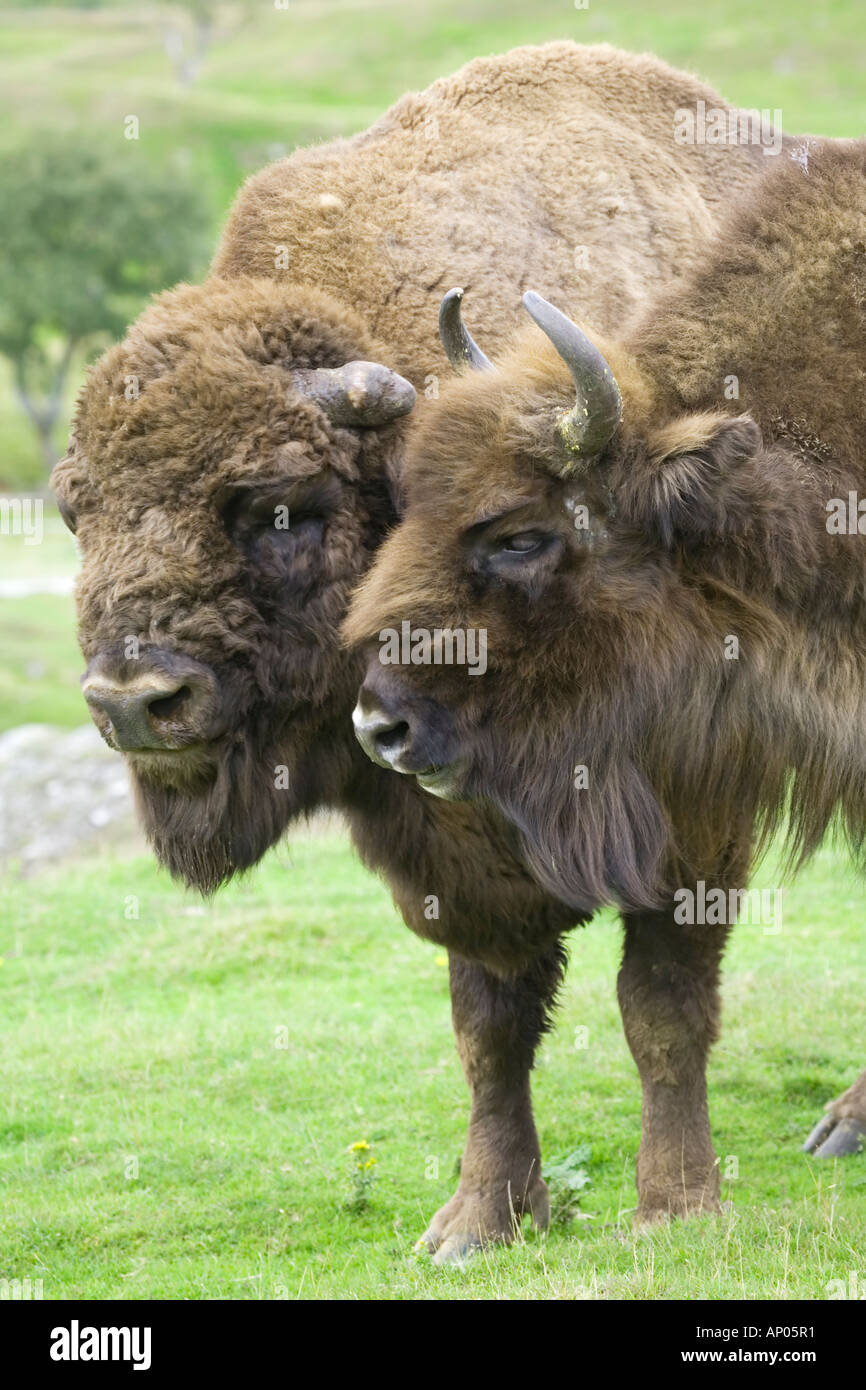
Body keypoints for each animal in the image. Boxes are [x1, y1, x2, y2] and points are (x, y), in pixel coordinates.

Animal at [54, 43, 779, 1256]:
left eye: (280, 505)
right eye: (76, 512)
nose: (133, 701)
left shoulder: (693, 819)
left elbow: (661, 1008)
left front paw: (677, 1209)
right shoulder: (450, 859)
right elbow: (488, 1027)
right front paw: (478, 1221)